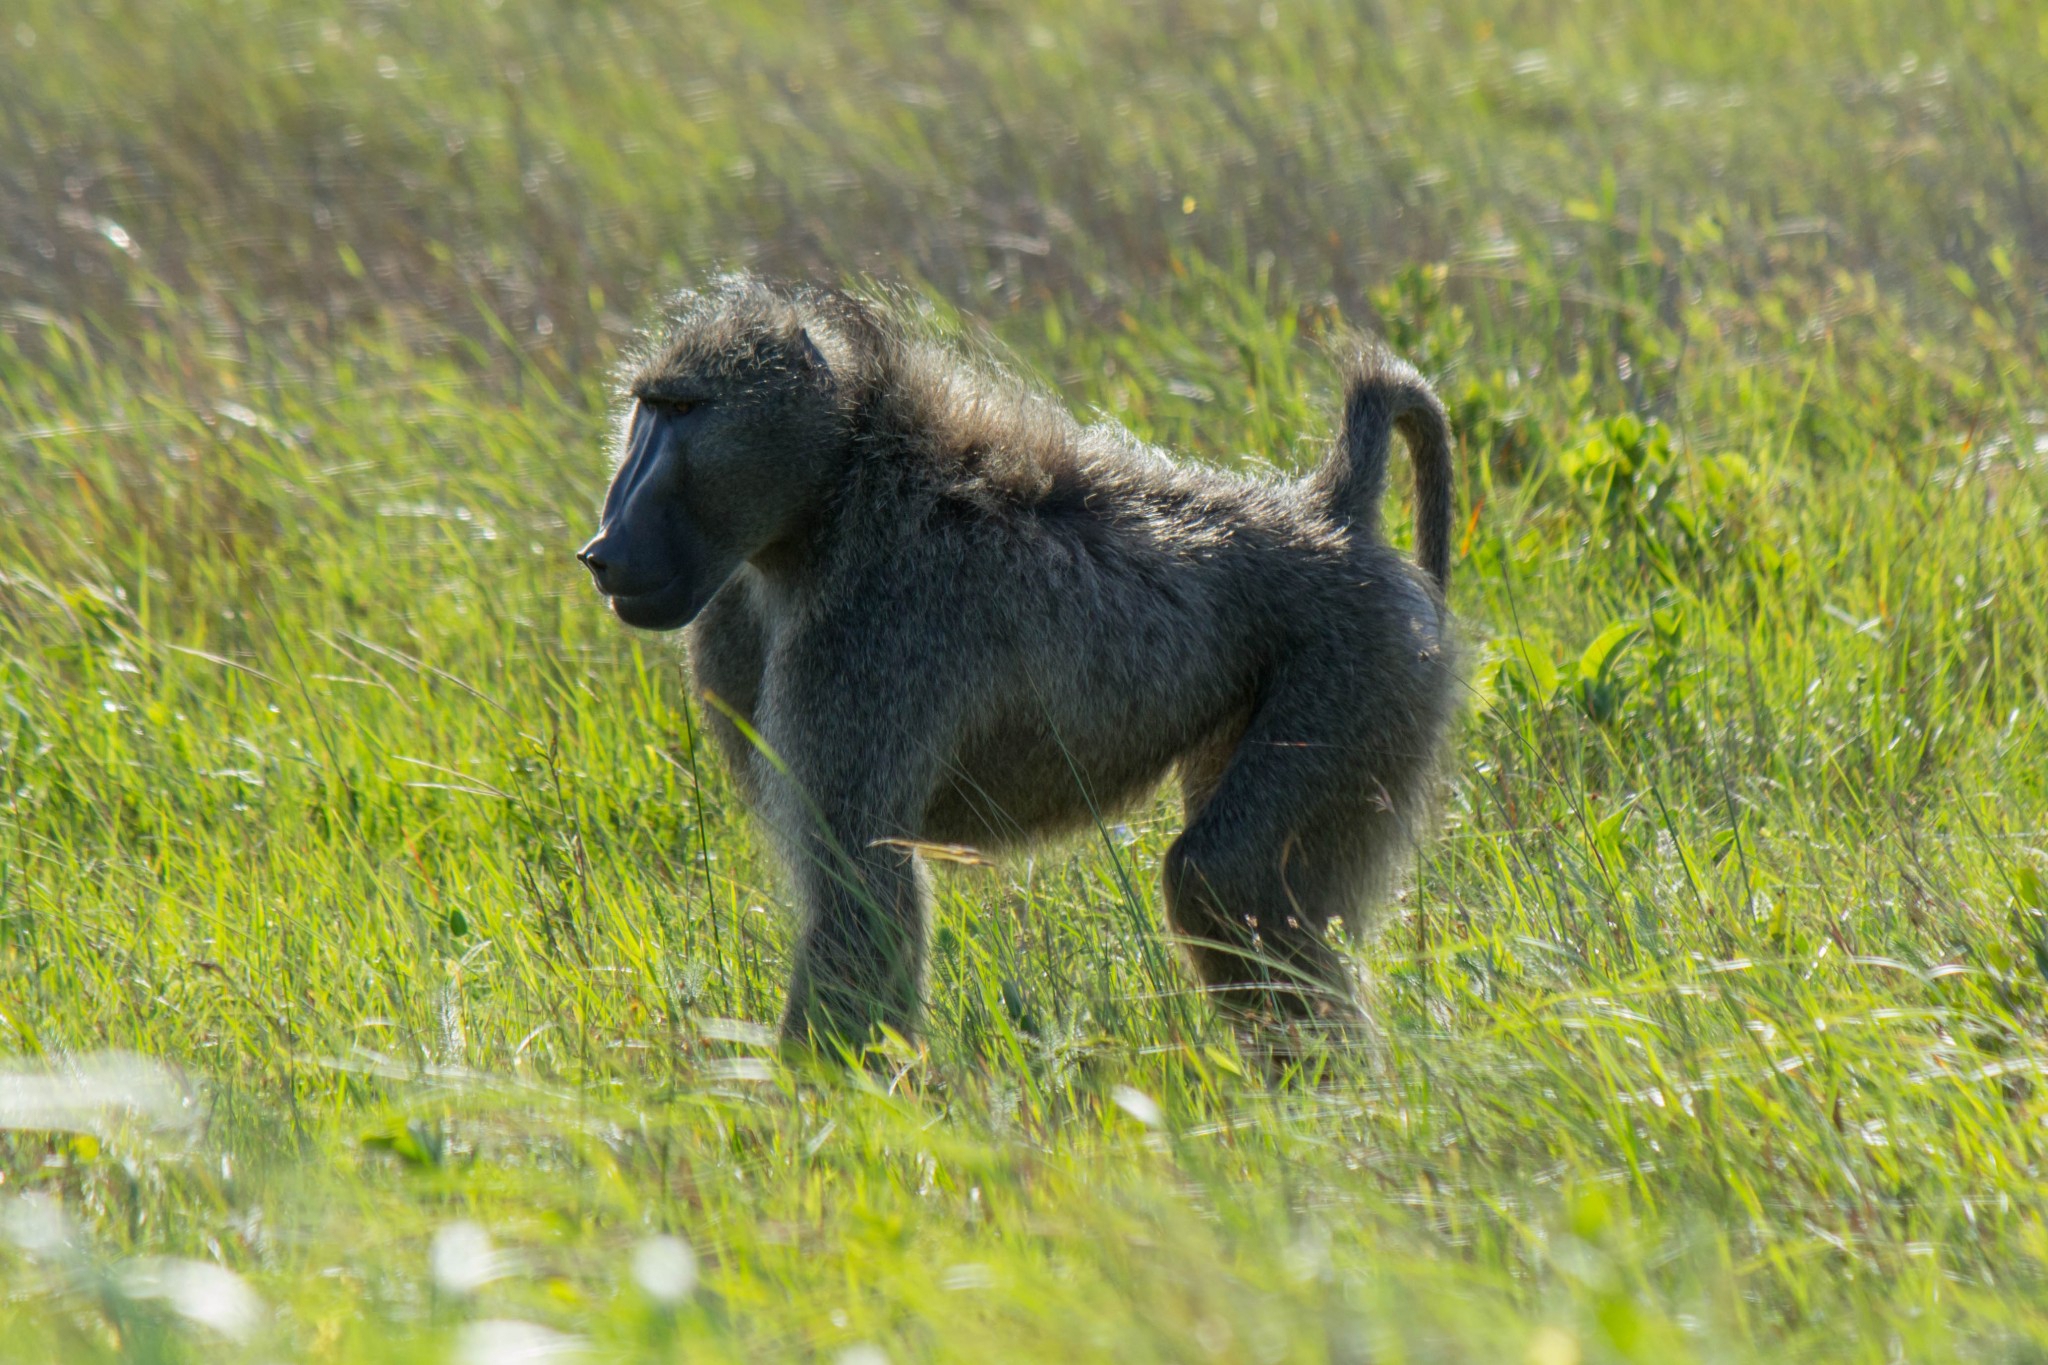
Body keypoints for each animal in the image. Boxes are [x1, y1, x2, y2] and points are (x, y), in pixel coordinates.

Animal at [577, 276, 1458, 1050]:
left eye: (682, 410)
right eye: (645, 408)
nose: (602, 547)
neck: (833, 496)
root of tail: (1330, 518)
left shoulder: (869, 642)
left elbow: (859, 895)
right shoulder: (731, 617)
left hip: (1360, 668)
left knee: (1222, 878)